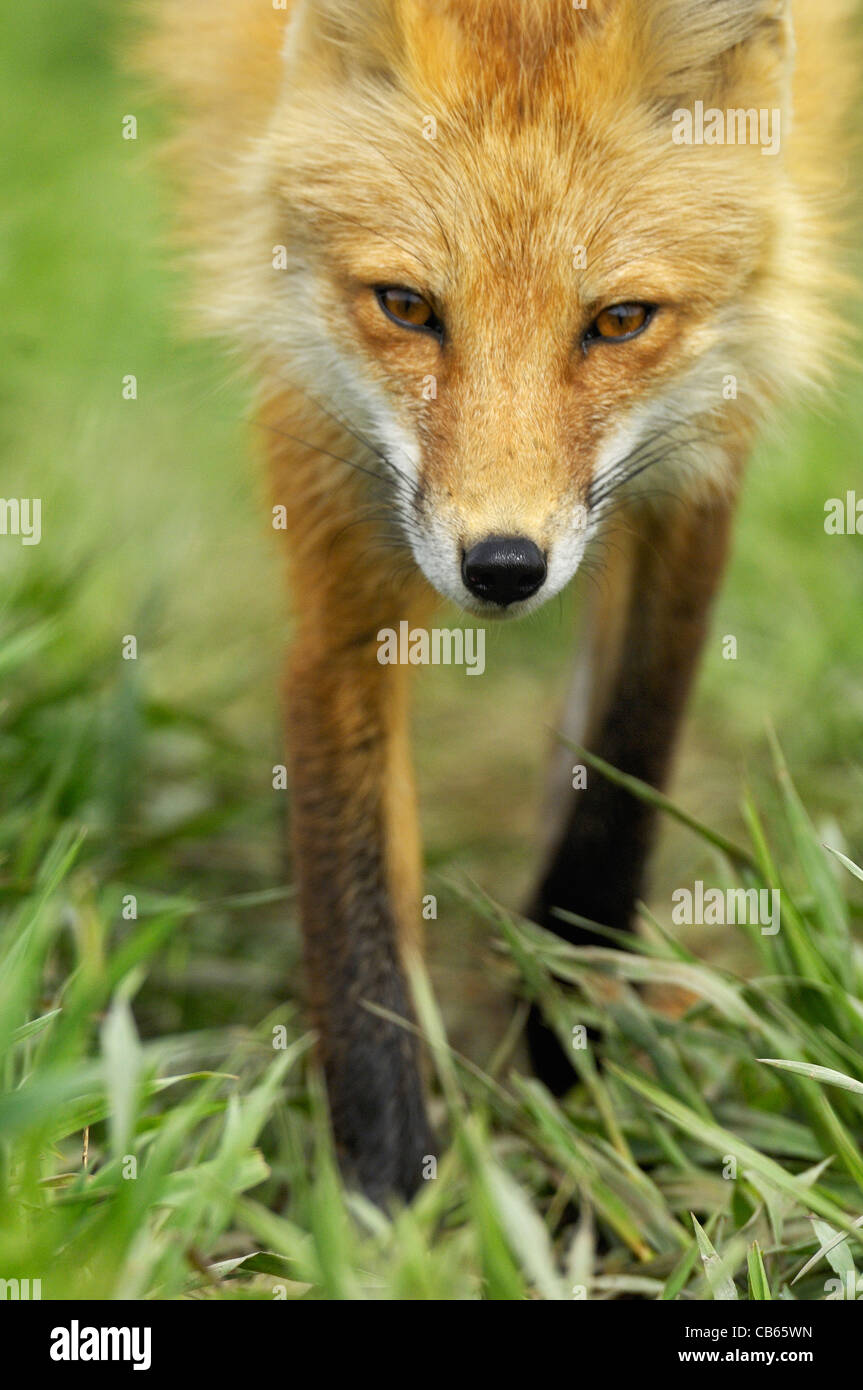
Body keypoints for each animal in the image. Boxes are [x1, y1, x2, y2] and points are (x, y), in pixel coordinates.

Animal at [141, 0, 857, 1203]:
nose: (504, 566)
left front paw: (571, 1075)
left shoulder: (702, 448)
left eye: (618, 321)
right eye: (405, 307)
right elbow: (359, 903)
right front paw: (386, 1198)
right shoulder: (334, 484)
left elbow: (619, 780)